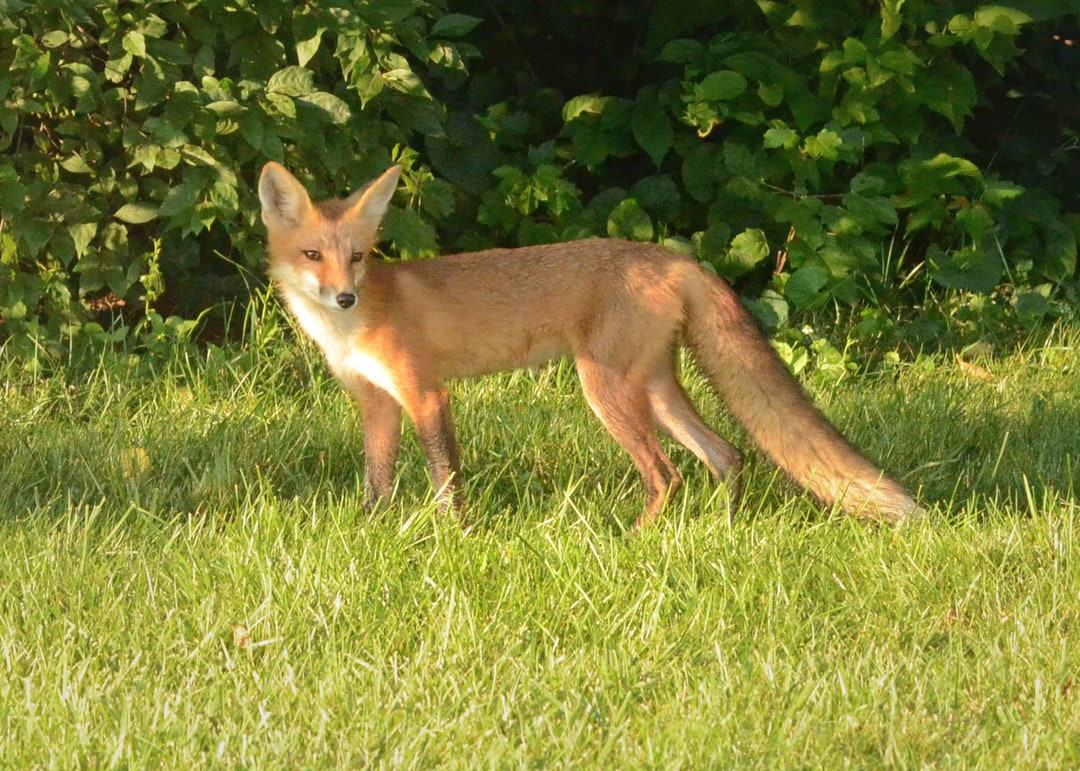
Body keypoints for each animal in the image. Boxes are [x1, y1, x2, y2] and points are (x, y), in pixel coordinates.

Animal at [258, 161, 923, 530]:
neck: (355, 327)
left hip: (606, 390)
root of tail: (672, 258)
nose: (345, 297)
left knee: (667, 476)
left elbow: (445, 478)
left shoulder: (425, 395)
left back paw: (633, 541)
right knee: (728, 456)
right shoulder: (376, 403)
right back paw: (723, 535)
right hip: (655, 391)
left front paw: (454, 538)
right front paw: (368, 534)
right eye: (313, 255)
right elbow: (377, 482)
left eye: (358, 257)